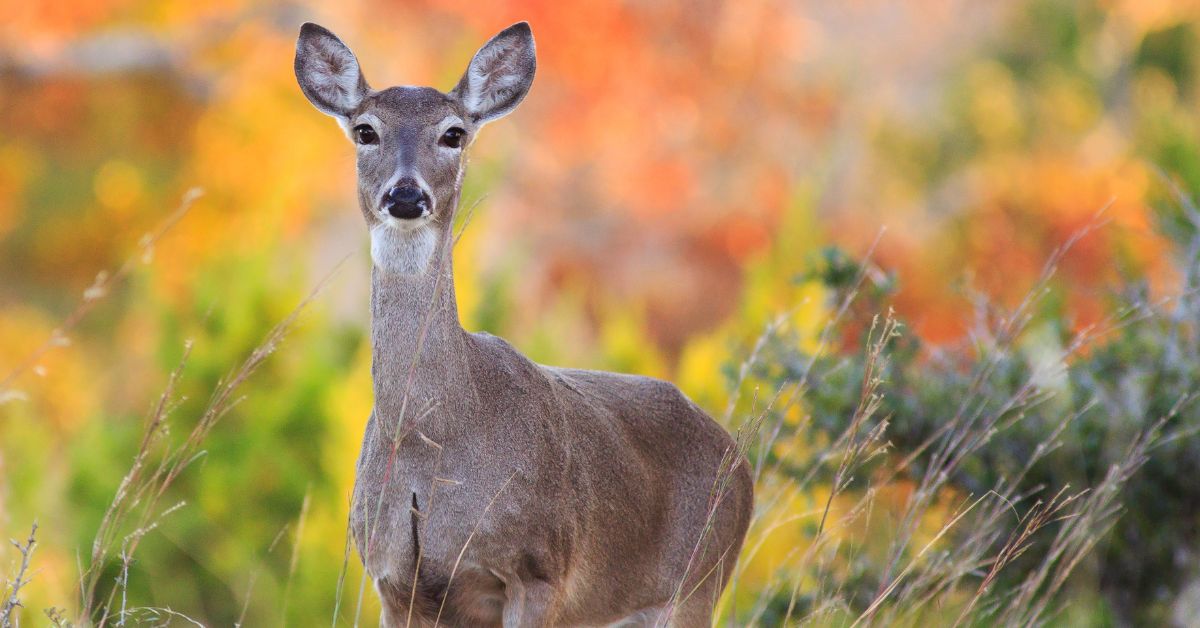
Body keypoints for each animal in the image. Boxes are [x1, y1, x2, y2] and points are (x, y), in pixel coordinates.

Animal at [294, 20, 753, 627]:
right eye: (365, 130)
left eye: (454, 134)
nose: (406, 194)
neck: (433, 441)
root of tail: (742, 467)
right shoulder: (393, 581)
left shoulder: (539, 568)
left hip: (696, 585)